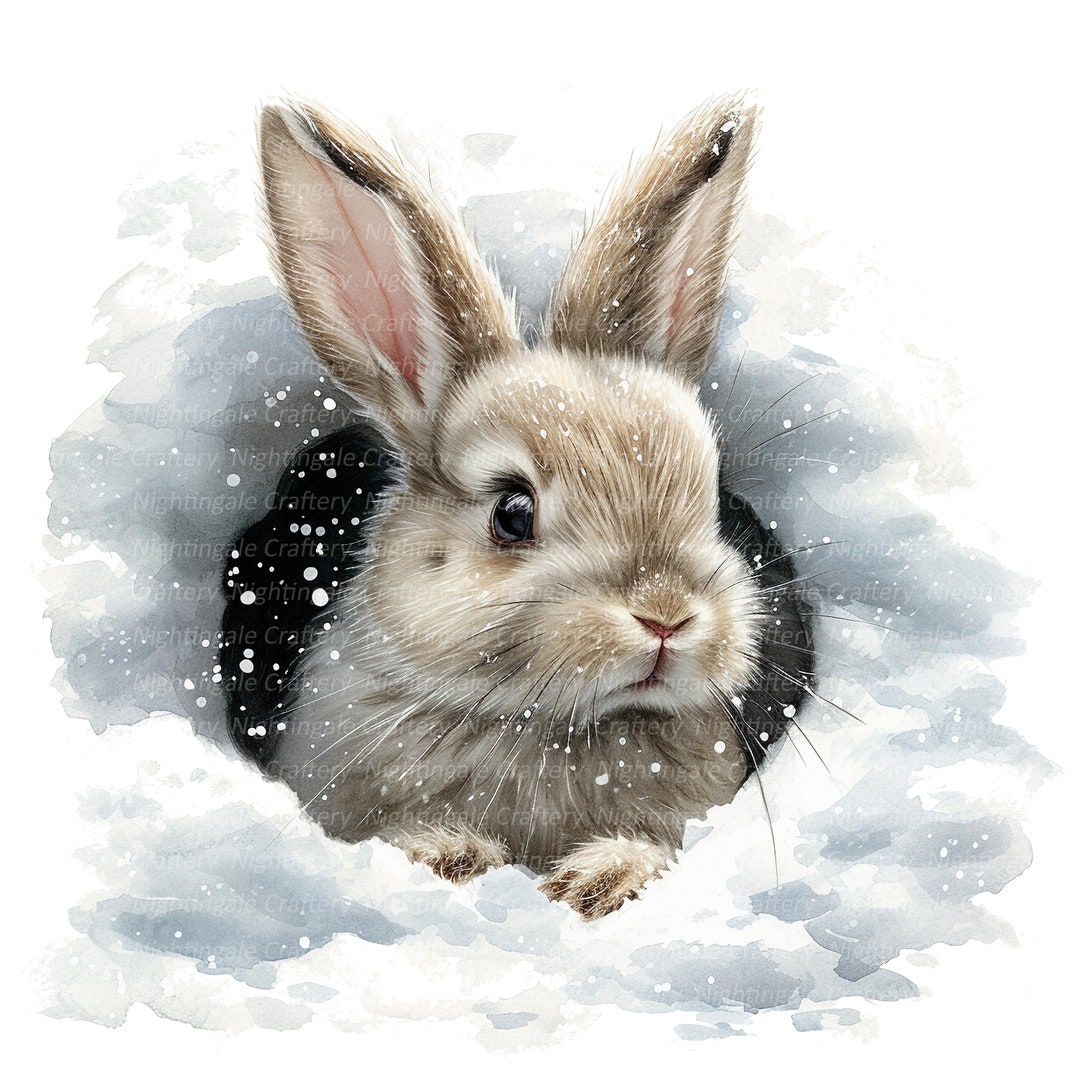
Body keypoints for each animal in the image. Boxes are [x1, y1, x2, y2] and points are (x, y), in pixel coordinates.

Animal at [221, 97, 813, 919]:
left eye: (711, 496)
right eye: (512, 512)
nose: (666, 616)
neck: (556, 726)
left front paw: (599, 879)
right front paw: (450, 853)